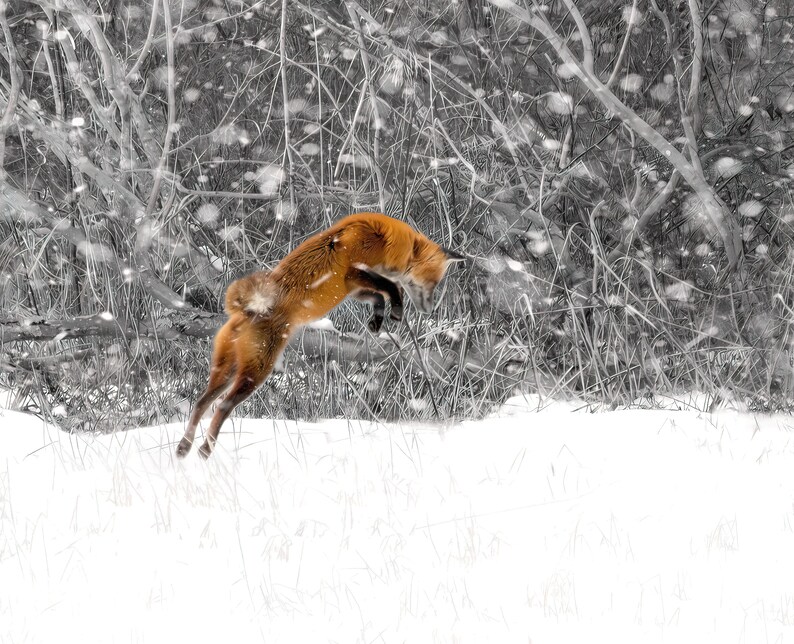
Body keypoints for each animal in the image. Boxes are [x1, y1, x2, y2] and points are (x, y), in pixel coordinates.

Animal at [176, 212, 464, 459]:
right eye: (433, 283)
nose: (429, 310)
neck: (385, 239)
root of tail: (244, 312)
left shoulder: (353, 286)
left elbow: (377, 296)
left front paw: (377, 321)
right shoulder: (354, 272)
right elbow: (390, 286)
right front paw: (396, 309)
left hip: (226, 371)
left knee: (201, 403)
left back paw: (183, 447)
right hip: (255, 372)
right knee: (222, 407)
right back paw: (204, 450)